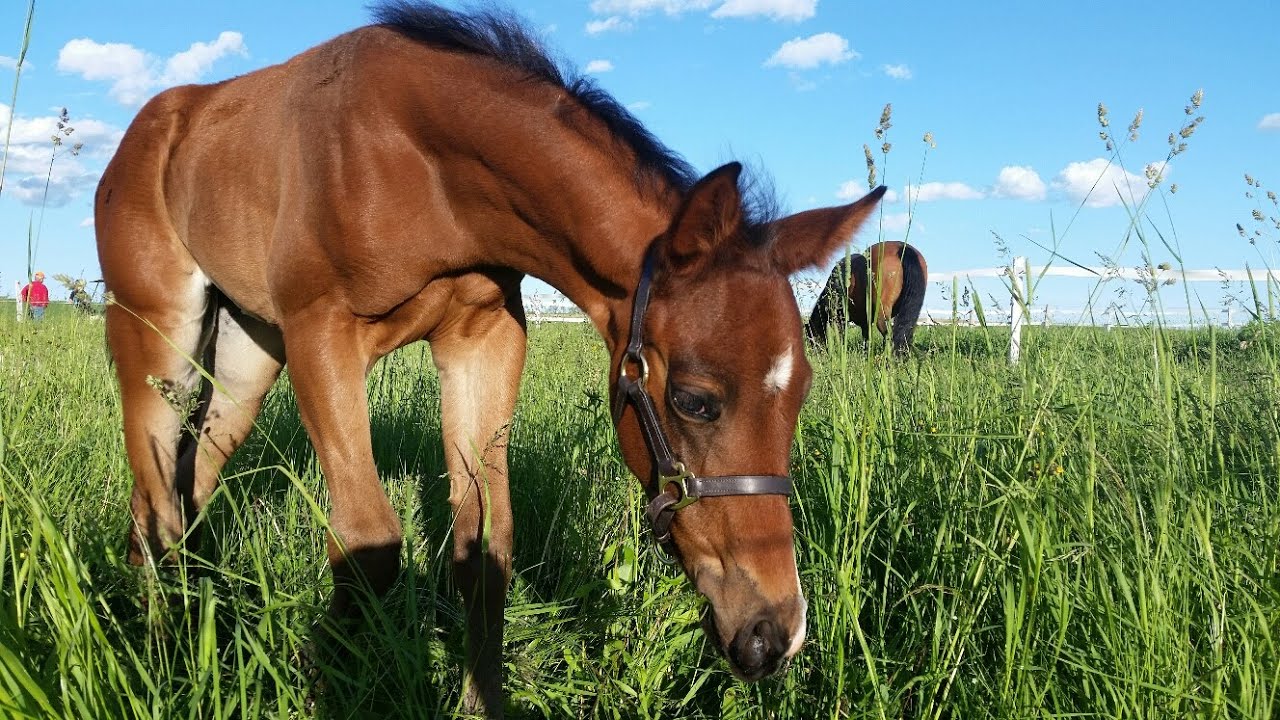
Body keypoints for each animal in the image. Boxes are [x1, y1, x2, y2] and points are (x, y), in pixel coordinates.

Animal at [95, 3, 885, 715]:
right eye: (695, 399)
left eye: (800, 392)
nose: (773, 635)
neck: (424, 171)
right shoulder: (322, 333)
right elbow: (369, 542)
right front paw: (327, 684)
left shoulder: (484, 338)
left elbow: (487, 546)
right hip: (157, 333)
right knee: (154, 488)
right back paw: (155, 647)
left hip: (248, 354)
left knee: (190, 478)